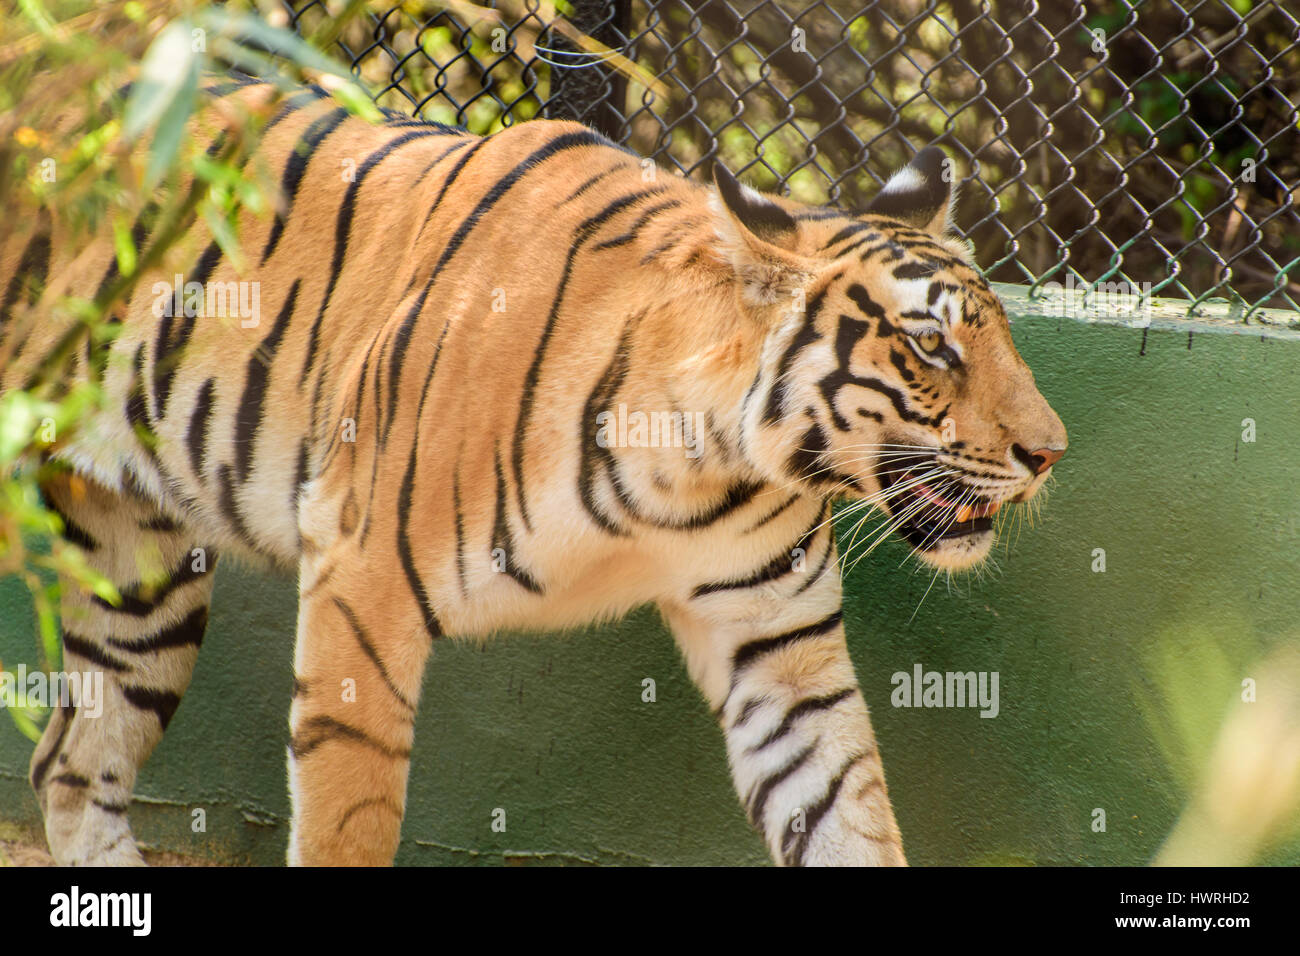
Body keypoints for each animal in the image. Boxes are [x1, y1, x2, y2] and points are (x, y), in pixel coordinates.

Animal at [0, 74, 1066, 867]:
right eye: (930, 346)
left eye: (999, 333)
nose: (1049, 452)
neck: (705, 470)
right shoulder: (360, 583)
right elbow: (351, 816)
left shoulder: (779, 640)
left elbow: (845, 807)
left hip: (141, 580)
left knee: (70, 765)